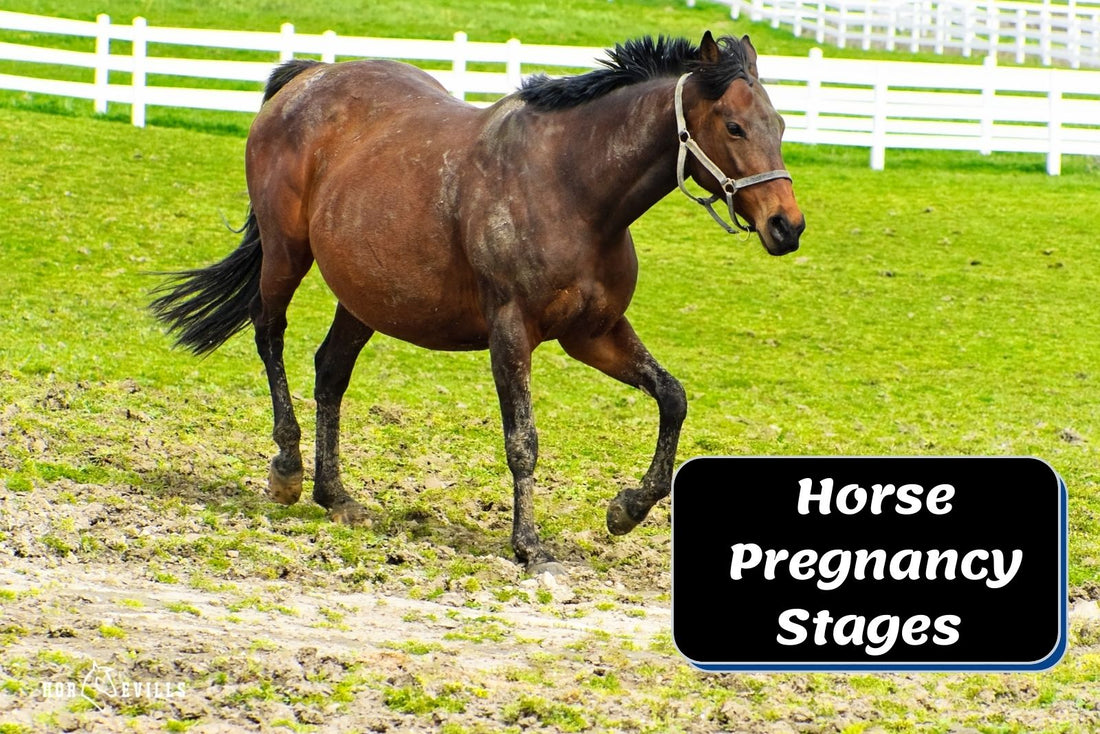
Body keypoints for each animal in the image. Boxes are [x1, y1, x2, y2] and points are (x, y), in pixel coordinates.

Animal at [151, 31, 804, 575]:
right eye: (734, 127)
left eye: (779, 126)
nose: (787, 226)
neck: (572, 187)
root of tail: (307, 77)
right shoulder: (511, 332)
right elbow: (523, 442)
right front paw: (530, 546)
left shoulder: (594, 333)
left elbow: (672, 397)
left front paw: (626, 510)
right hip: (286, 255)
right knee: (270, 333)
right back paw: (287, 472)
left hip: (364, 297)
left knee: (330, 372)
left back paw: (335, 496)